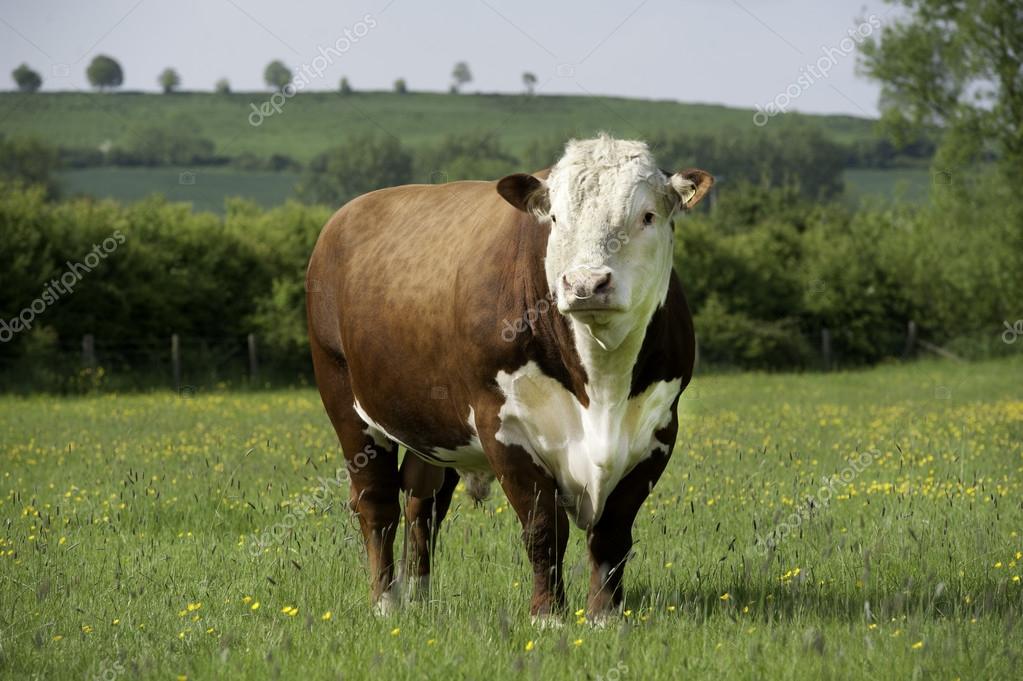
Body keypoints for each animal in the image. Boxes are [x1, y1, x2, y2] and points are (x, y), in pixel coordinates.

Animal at [306, 135, 713, 622]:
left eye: (648, 215)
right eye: (555, 218)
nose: (585, 284)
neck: (601, 387)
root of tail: (346, 215)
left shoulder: (658, 430)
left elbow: (612, 531)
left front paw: (603, 616)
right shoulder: (502, 426)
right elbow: (543, 527)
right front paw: (548, 615)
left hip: (436, 427)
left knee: (423, 503)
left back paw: (420, 597)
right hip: (344, 397)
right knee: (377, 502)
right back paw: (387, 603)